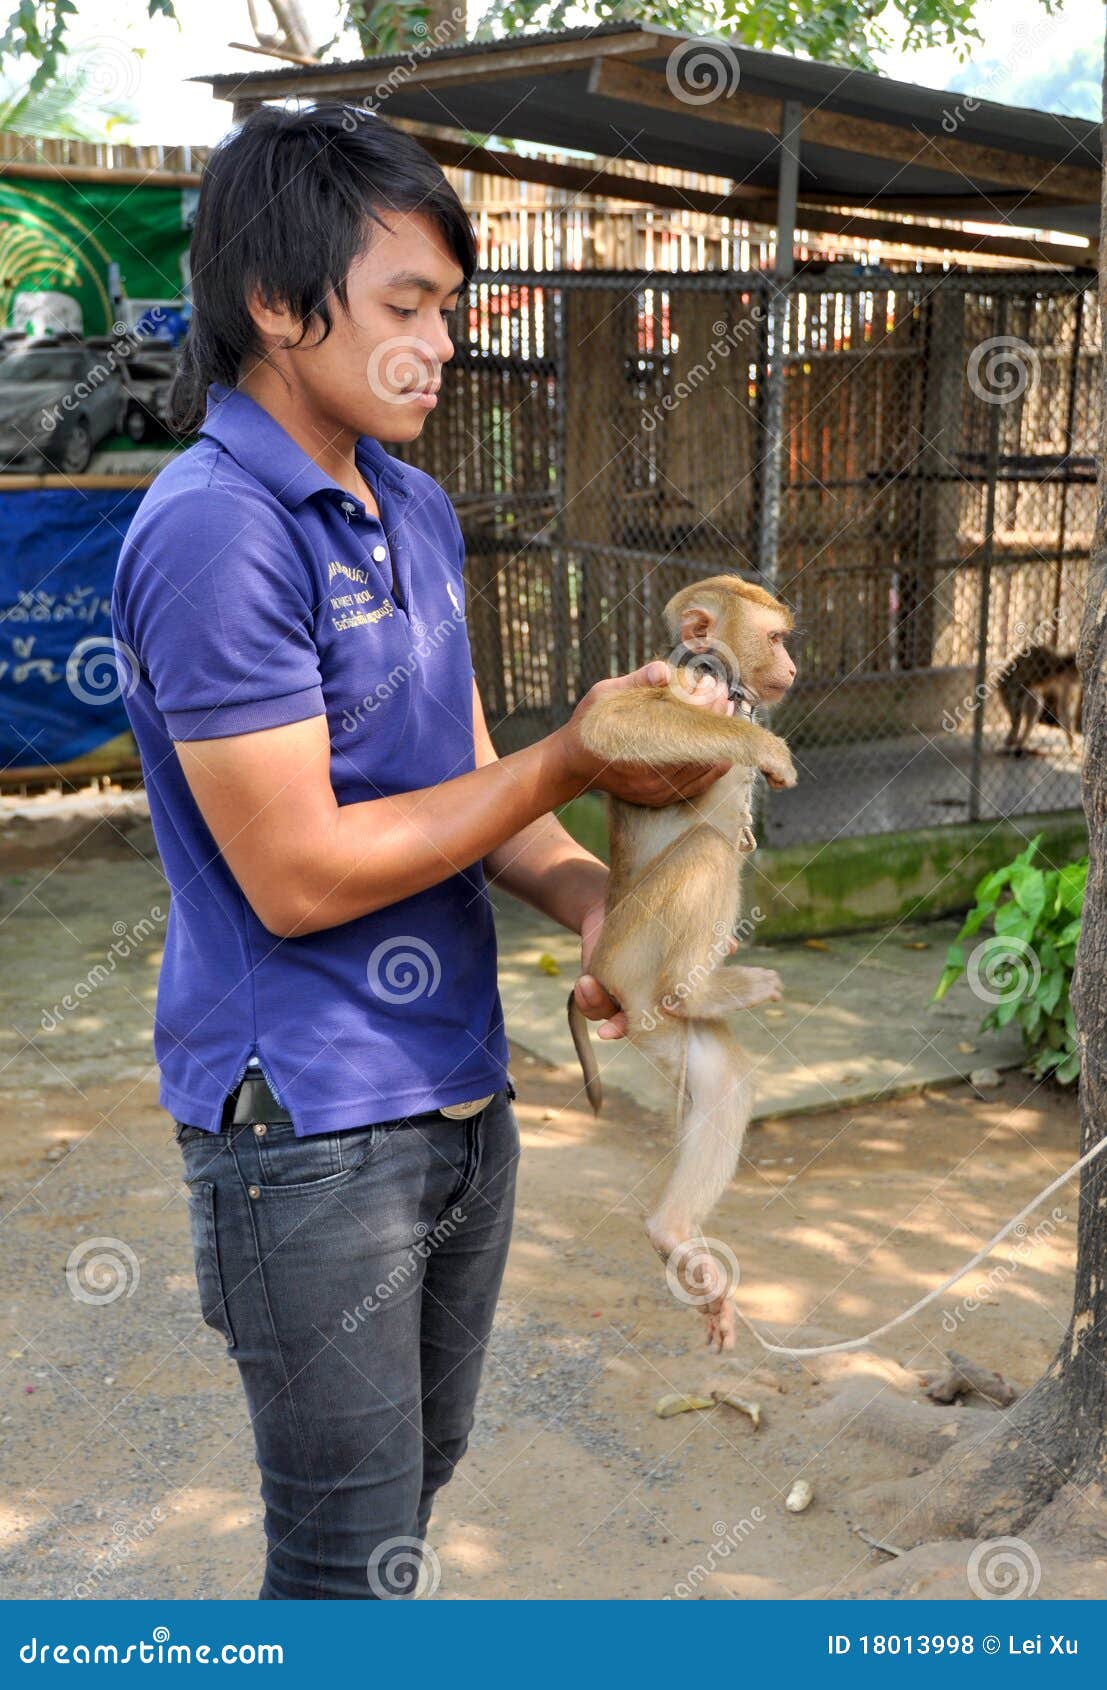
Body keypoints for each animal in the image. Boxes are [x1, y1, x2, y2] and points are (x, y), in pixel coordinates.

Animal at [567, 575, 798, 1351]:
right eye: (777, 637)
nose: (792, 668)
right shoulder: (686, 683)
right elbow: (604, 725)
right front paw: (763, 747)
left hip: (651, 1025)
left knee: (724, 1082)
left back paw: (673, 1235)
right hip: (633, 945)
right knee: (707, 848)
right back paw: (700, 987)